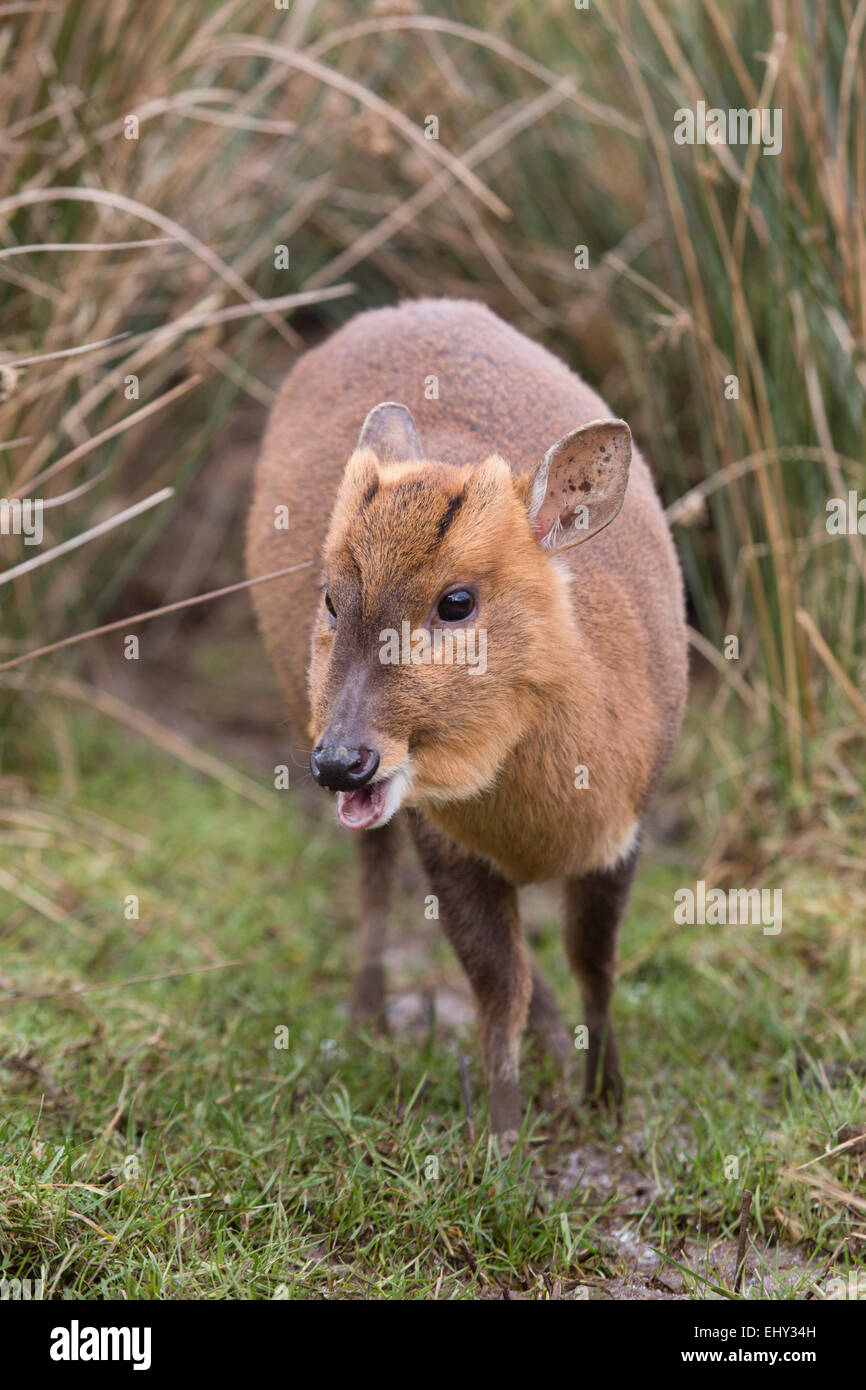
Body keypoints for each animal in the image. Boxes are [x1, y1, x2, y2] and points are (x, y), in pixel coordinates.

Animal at [246, 298, 688, 1141]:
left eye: (456, 601)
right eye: (330, 599)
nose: (339, 761)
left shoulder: (628, 825)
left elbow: (594, 962)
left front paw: (608, 1099)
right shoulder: (442, 834)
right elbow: (494, 985)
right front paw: (505, 1137)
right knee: (375, 873)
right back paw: (366, 1016)